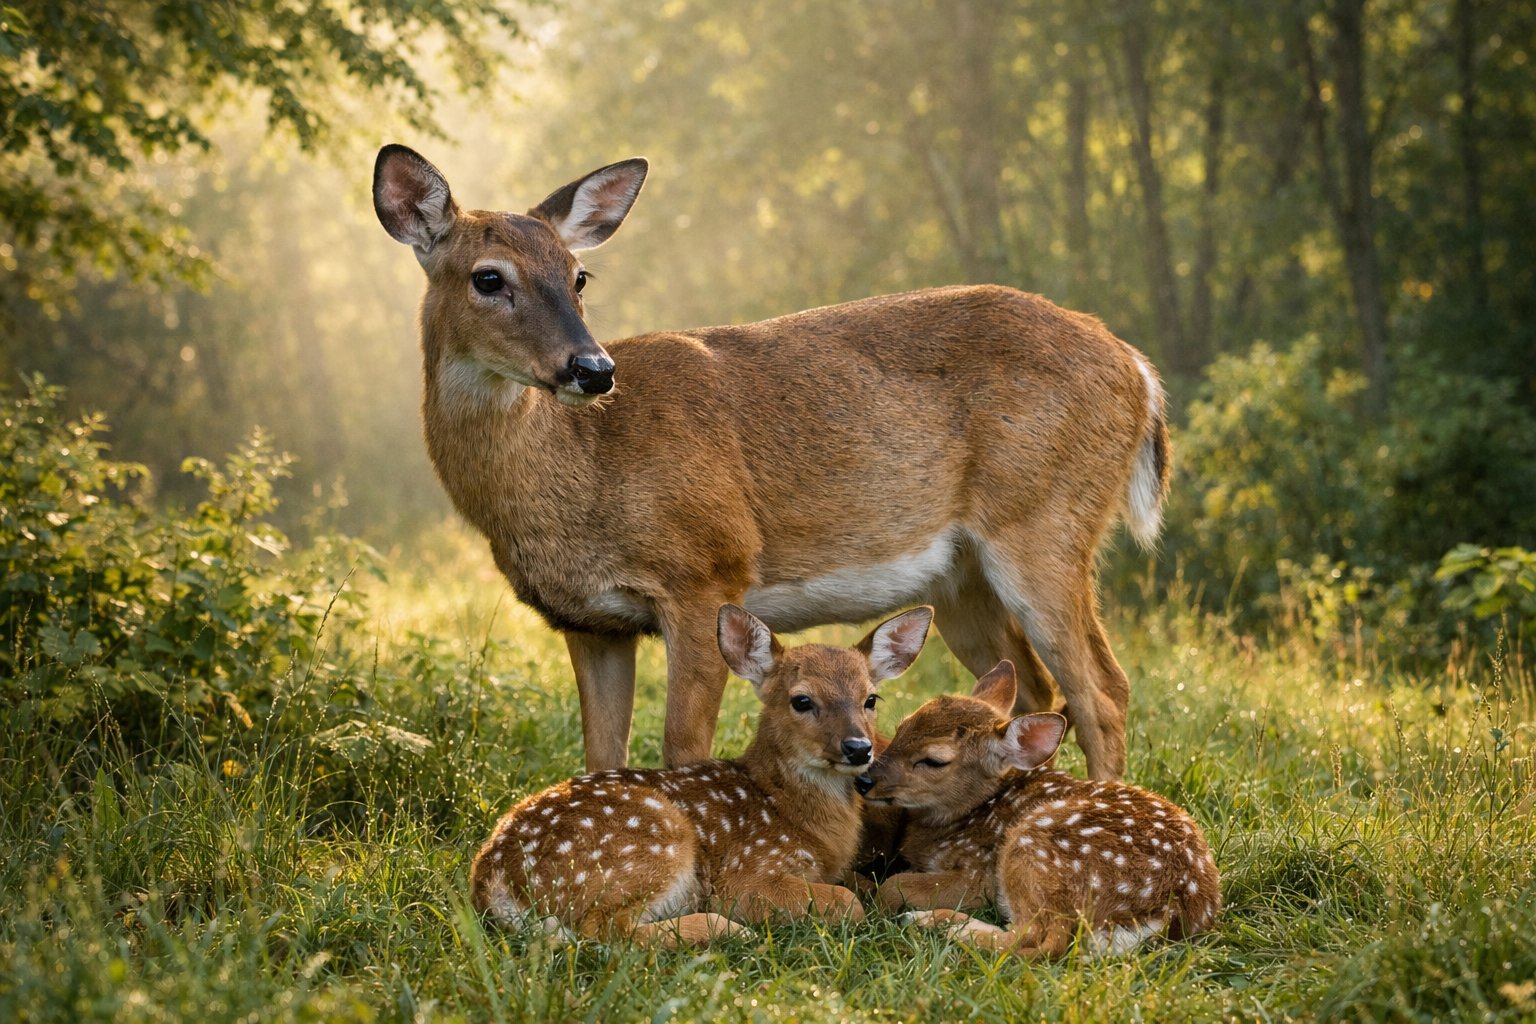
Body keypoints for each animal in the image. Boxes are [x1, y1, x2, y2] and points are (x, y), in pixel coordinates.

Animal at [372, 144, 1171, 781]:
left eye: (578, 276)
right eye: (488, 278)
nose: (592, 369)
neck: (585, 475)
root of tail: (1136, 367)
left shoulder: (707, 569)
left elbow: (681, 750)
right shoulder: (590, 621)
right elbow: (601, 758)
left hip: (1045, 521)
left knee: (1103, 690)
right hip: (960, 578)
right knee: (1033, 693)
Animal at [469, 604, 932, 946]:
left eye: (871, 698)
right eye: (801, 700)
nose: (859, 748)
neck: (787, 809)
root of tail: (492, 880)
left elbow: (861, 884)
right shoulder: (749, 874)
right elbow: (847, 902)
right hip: (651, 841)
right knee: (605, 930)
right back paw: (727, 930)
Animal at [856, 661, 1220, 958]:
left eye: (933, 760)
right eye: (903, 728)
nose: (864, 780)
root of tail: (1169, 911)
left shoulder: (979, 872)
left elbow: (894, 886)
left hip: (1034, 845)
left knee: (1041, 940)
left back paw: (925, 921)